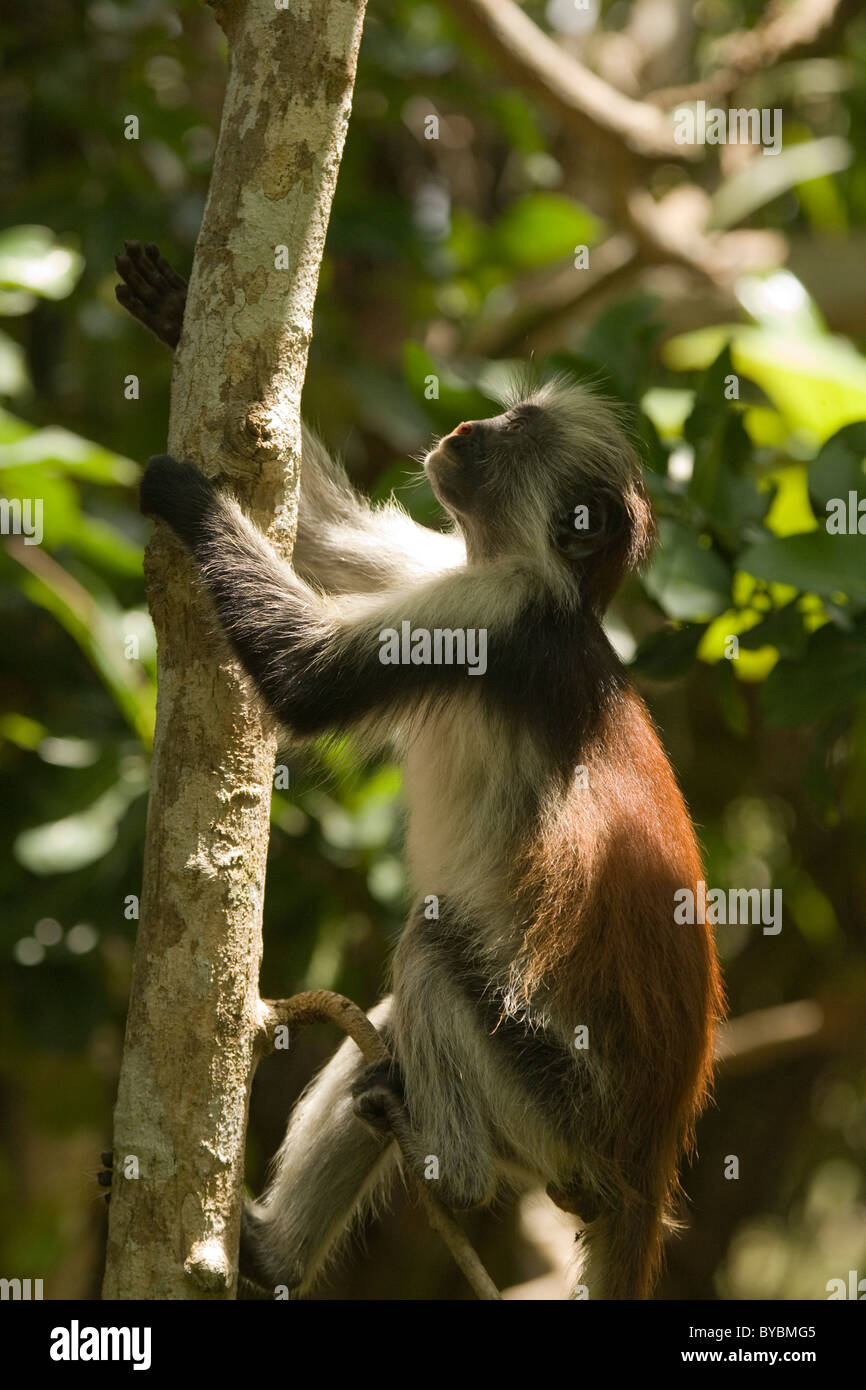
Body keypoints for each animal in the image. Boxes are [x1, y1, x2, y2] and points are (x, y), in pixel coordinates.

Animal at [116, 242, 724, 1300]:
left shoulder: (490, 615)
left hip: (555, 1111)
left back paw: (455, 1176)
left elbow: (305, 679)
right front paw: (173, 308)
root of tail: (650, 1162)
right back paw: (271, 1252)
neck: (556, 594)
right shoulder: (455, 578)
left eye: (513, 433)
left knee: (433, 953)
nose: (464, 428)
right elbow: (337, 545)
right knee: (390, 1034)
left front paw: (191, 499)